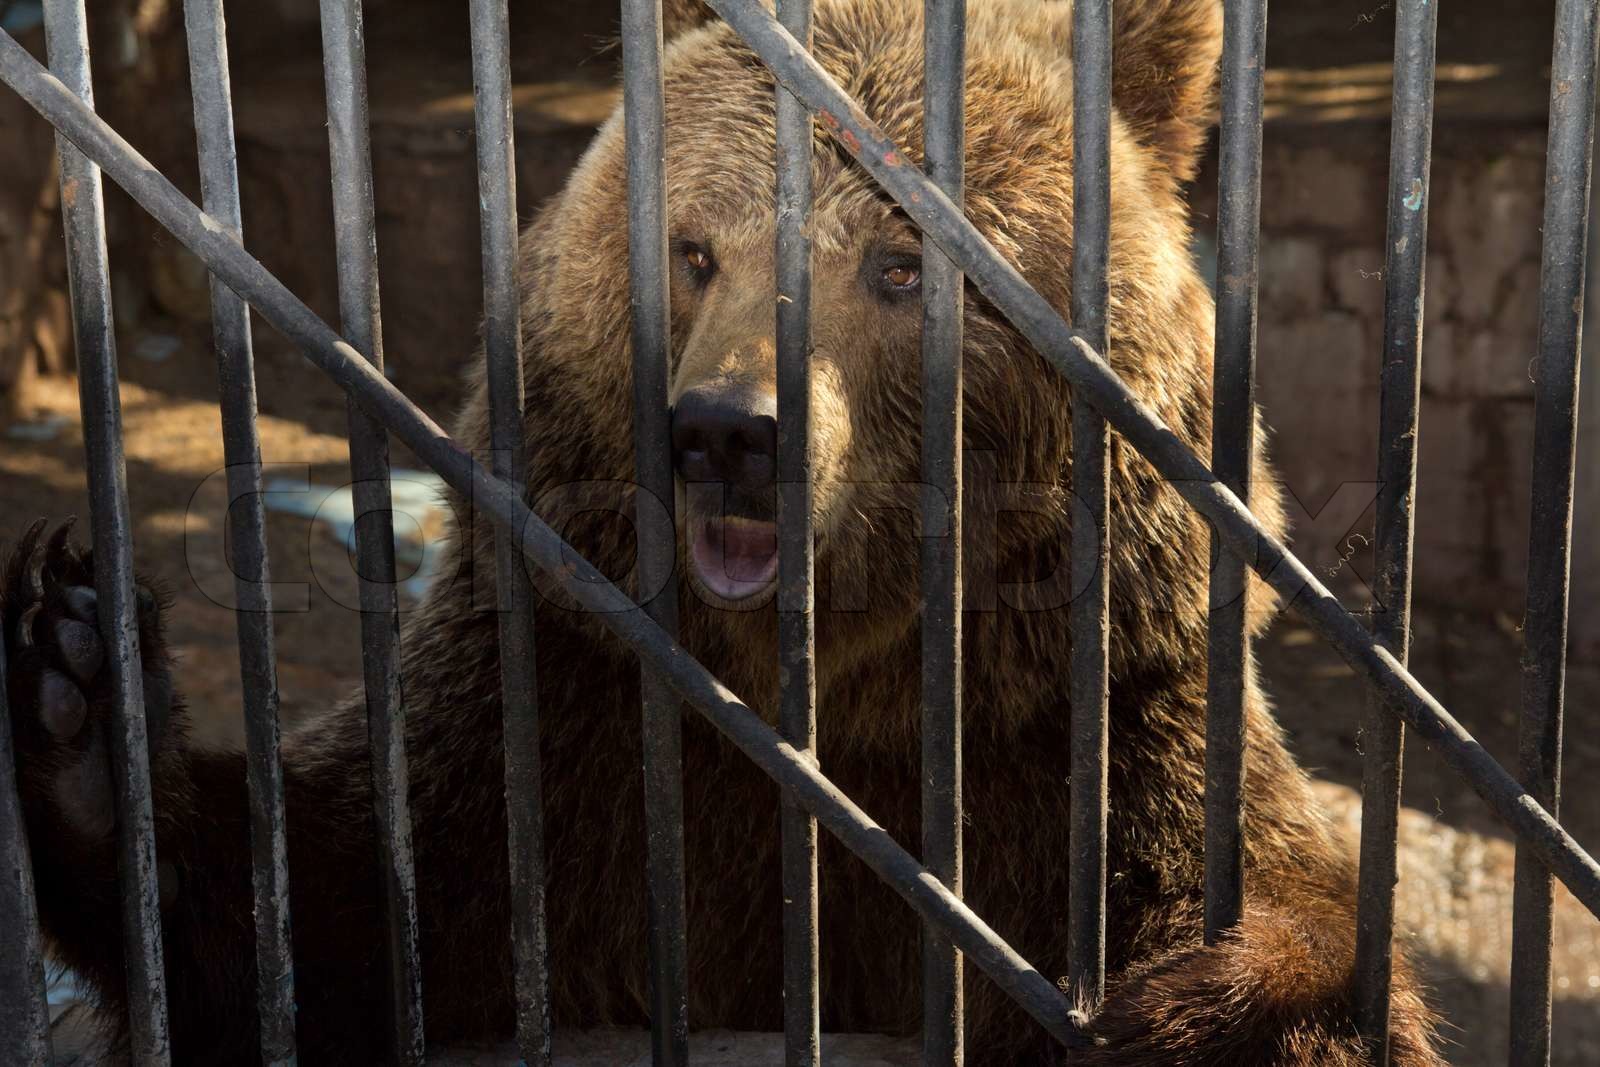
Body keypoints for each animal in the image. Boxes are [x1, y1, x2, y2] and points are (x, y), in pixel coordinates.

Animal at [1, 0, 1446, 1062]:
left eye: (899, 266)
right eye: (693, 249)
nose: (724, 430)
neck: (841, 690)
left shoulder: (1095, 733)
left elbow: (1298, 940)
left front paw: (1206, 997)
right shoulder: (565, 729)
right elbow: (331, 901)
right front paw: (81, 679)